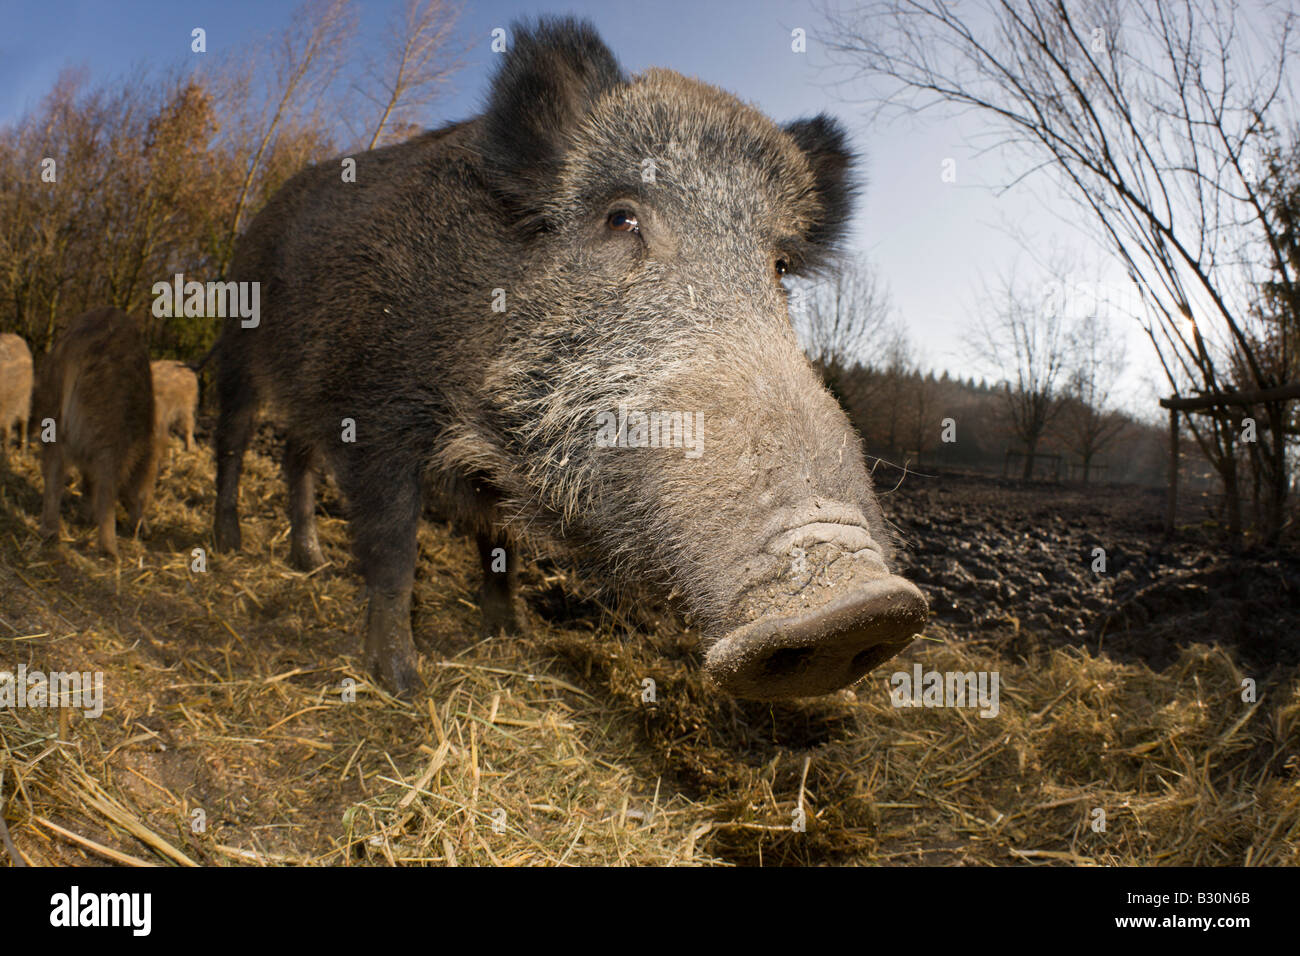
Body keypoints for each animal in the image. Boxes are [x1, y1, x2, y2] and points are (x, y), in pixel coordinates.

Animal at [33, 308, 158, 557]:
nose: (148, 534)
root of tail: (77, 348)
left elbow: (88, 480)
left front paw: (84, 518)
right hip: (108, 427)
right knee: (107, 490)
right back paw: (111, 552)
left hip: (51, 408)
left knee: (52, 472)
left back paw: (50, 532)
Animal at [213, 18, 928, 699]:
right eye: (621, 219)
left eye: (779, 266)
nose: (860, 607)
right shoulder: (374, 406)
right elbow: (394, 551)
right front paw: (405, 685)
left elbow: (500, 545)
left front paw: (512, 635)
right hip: (236, 337)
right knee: (235, 437)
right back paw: (230, 544)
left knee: (295, 456)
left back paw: (309, 562)